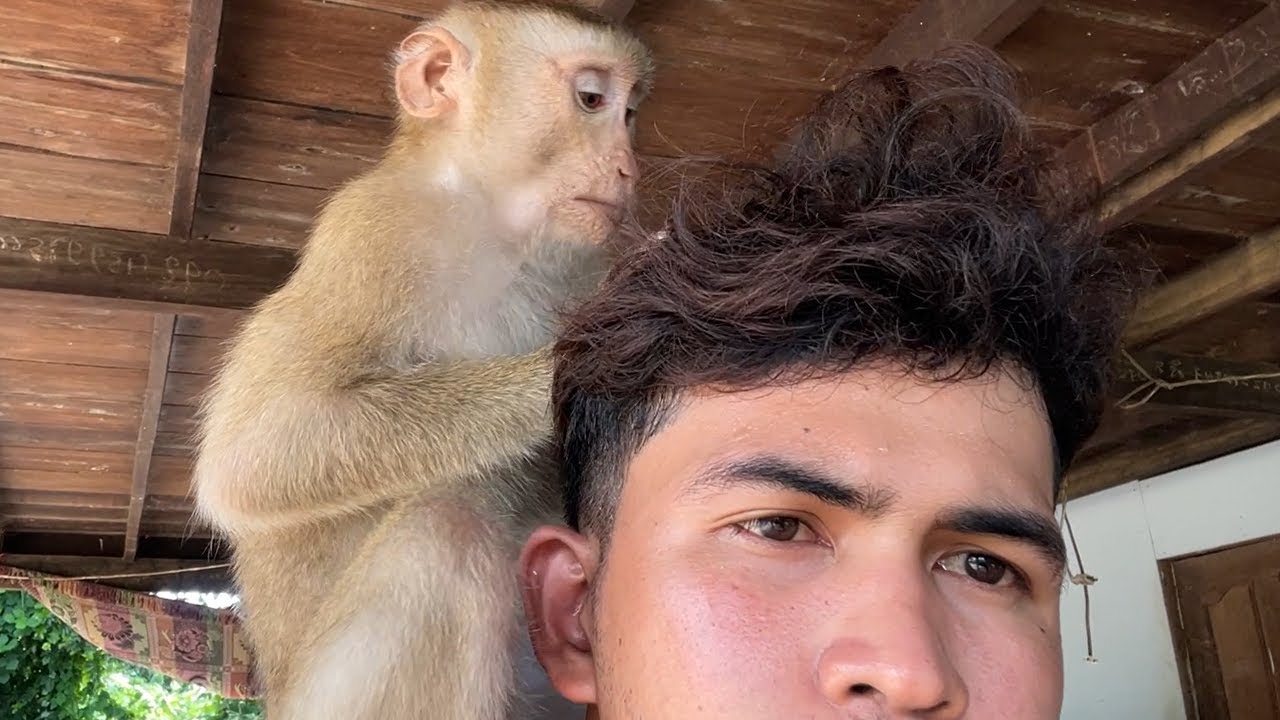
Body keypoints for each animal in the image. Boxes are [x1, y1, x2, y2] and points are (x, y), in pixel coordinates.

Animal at [189, 3, 654, 719]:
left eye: (629, 112)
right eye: (591, 98)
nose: (628, 166)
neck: (499, 232)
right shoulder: (375, 232)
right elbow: (254, 455)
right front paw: (586, 354)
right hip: (322, 703)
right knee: (444, 534)